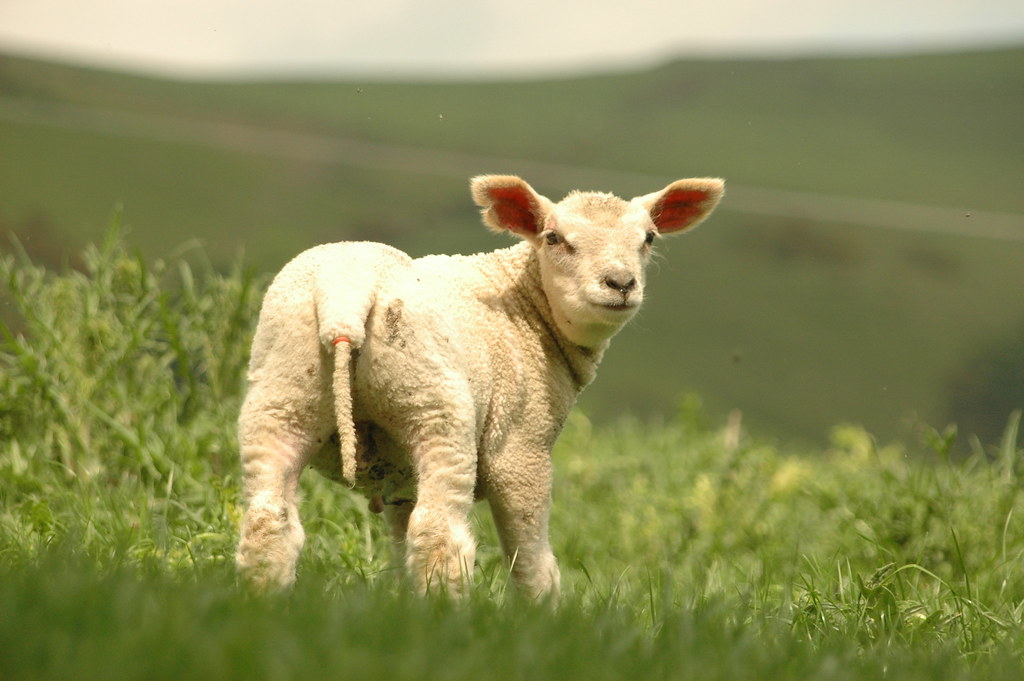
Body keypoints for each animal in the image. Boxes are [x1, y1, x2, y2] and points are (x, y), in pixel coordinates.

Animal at [235, 174, 725, 598]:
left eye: (649, 238)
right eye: (553, 238)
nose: (621, 284)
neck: (525, 302)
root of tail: (345, 297)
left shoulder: (398, 475)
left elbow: (399, 539)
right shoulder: (522, 446)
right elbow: (530, 559)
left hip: (282, 393)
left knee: (268, 520)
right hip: (434, 404)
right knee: (439, 532)